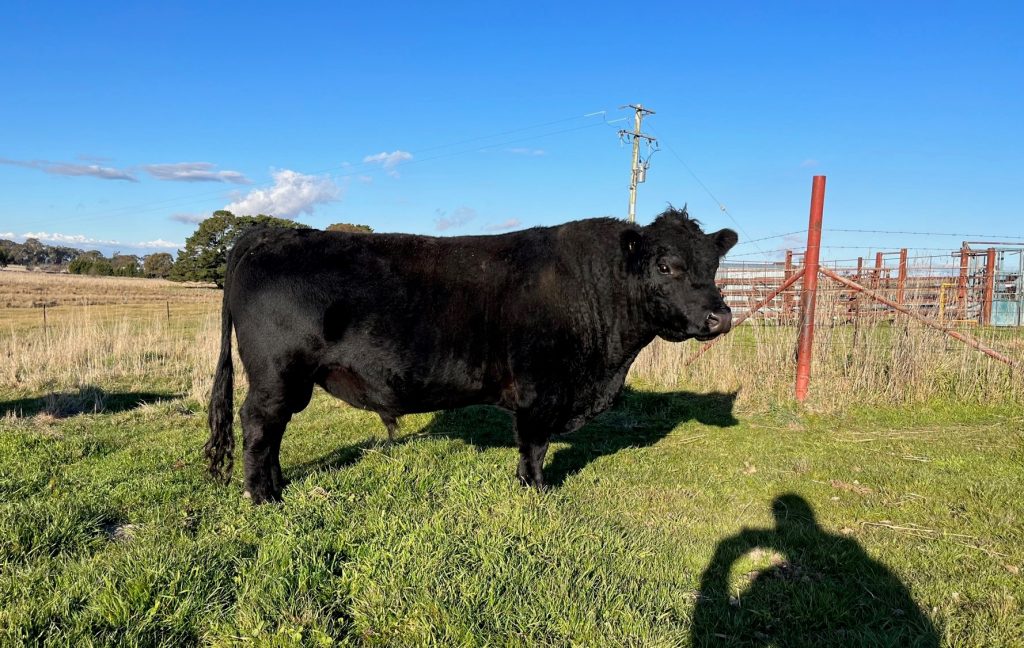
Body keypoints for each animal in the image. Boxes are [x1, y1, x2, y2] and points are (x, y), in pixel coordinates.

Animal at [205, 206, 737, 503]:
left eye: (714, 265)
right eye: (666, 266)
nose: (720, 317)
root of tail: (267, 232)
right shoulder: (540, 391)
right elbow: (534, 446)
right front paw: (536, 492)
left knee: (272, 432)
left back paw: (276, 486)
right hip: (277, 374)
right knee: (258, 425)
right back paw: (263, 496)